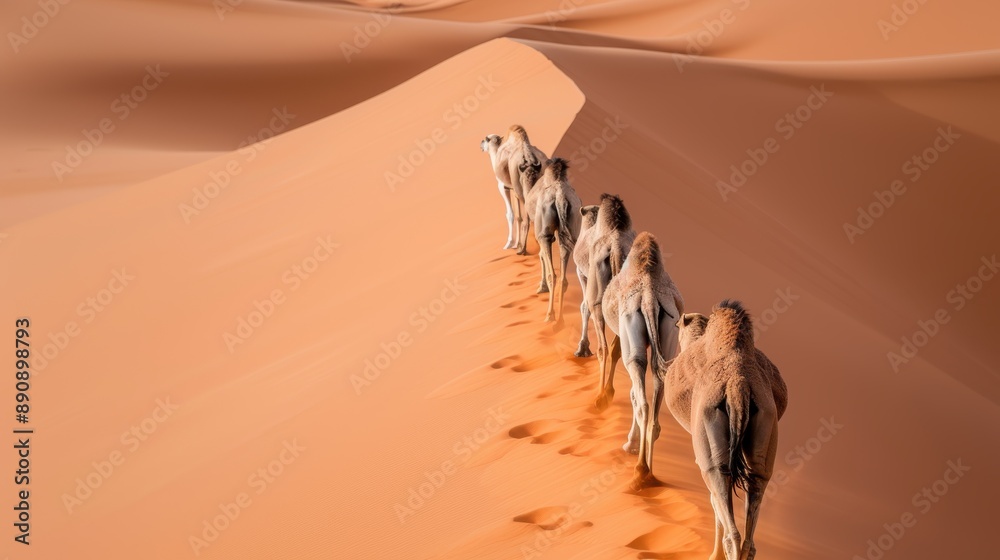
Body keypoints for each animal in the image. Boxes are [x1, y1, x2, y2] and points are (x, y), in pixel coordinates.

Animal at [480, 125, 548, 255]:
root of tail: (528, 158)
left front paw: (509, 244)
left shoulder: (503, 187)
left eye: (486, 139)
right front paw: (515, 244)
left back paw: (522, 249)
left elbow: (511, 214)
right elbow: (517, 216)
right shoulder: (513, 190)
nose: (480, 144)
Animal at [524, 157, 581, 325]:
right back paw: (561, 319)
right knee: (563, 276)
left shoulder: (540, 234)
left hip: (545, 234)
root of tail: (560, 197)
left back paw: (550, 316)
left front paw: (541, 287)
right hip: (570, 231)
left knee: (553, 275)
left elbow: (541, 256)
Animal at [573, 194, 636, 411]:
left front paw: (582, 348)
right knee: (618, 348)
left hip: (598, 296)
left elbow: (583, 307)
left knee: (604, 347)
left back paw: (600, 396)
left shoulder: (581, 273)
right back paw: (608, 392)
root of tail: (615, 249)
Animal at [602, 232, 684, 483]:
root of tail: (648, 298)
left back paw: (640, 470)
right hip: (669, 337)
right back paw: (648, 473)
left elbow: (632, 395)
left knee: (642, 402)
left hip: (634, 349)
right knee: (656, 388)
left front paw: (631, 444)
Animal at [666, 301, 788, 560]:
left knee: (719, 487)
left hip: (710, 448)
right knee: (757, 485)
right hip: (765, 430)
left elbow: (713, 501)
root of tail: (737, 384)